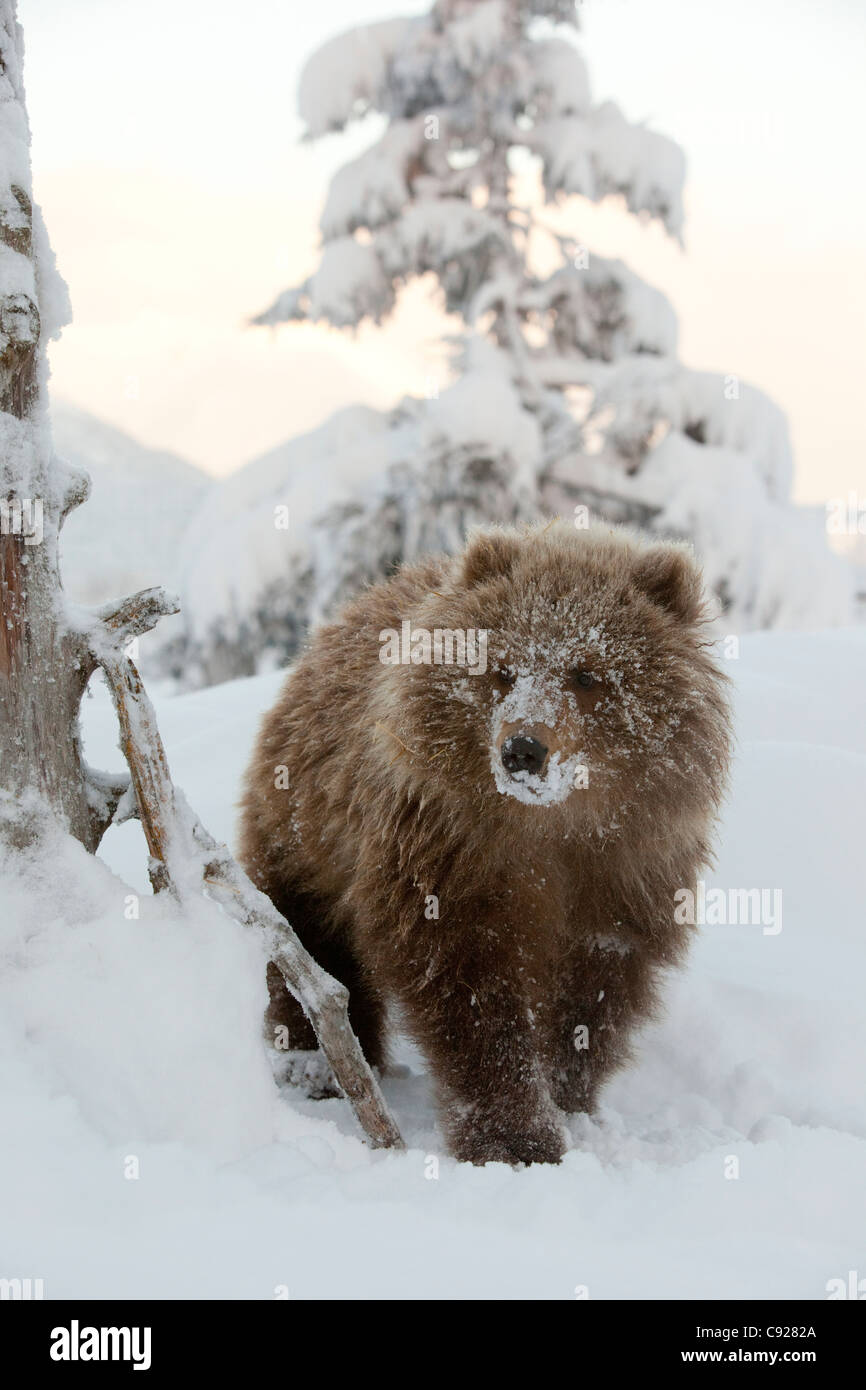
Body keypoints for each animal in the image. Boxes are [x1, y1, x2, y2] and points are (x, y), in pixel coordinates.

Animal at [238, 520, 731, 1165]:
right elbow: (468, 987)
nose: (523, 748)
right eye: (500, 668)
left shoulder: (624, 870)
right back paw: (317, 1066)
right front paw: (515, 1135)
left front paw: (566, 1101)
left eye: (588, 673)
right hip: (306, 833)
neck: (551, 827)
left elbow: (594, 991)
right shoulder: (446, 850)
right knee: (306, 945)